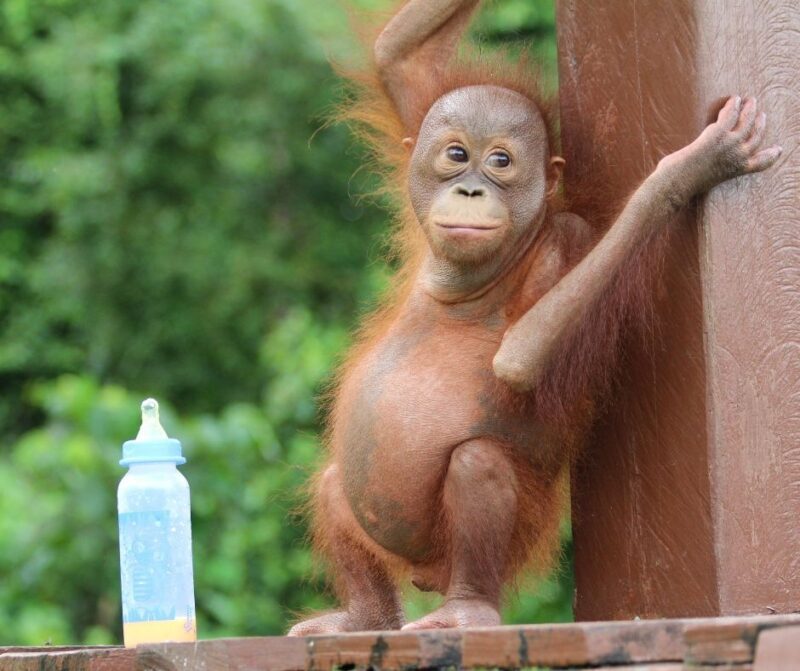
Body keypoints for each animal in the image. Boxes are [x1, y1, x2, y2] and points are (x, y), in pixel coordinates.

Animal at [287, 0, 782, 633]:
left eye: (501, 161)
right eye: (455, 155)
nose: (471, 190)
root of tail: (429, 575)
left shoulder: (564, 241)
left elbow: (521, 358)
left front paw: (680, 173)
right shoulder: (416, 114)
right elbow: (396, 57)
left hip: (507, 534)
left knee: (477, 463)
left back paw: (464, 612)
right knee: (334, 483)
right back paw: (364, 618)